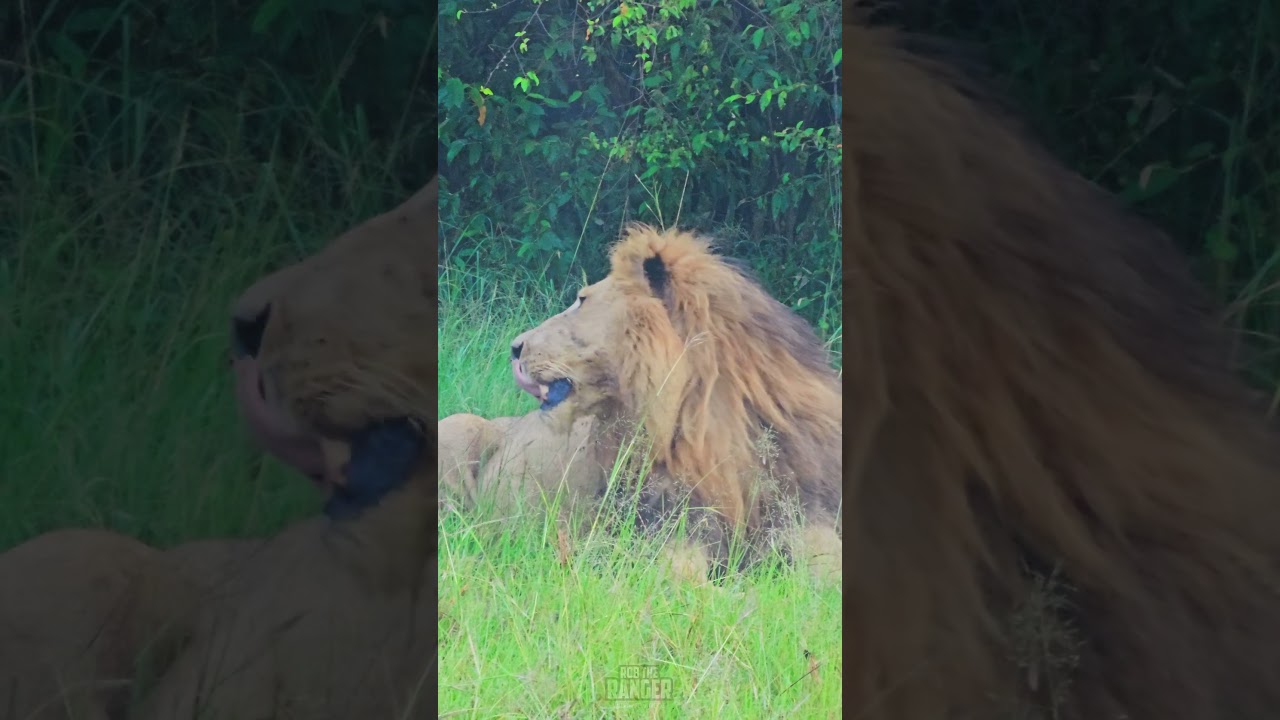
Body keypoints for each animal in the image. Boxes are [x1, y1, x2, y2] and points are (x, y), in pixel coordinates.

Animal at [440, 224, 844, 583]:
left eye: (582, 300)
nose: (514, 346)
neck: (710, 420)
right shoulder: (662, 529)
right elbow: (690, 586)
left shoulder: (803, 508)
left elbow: (828, 570)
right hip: (457, 428)